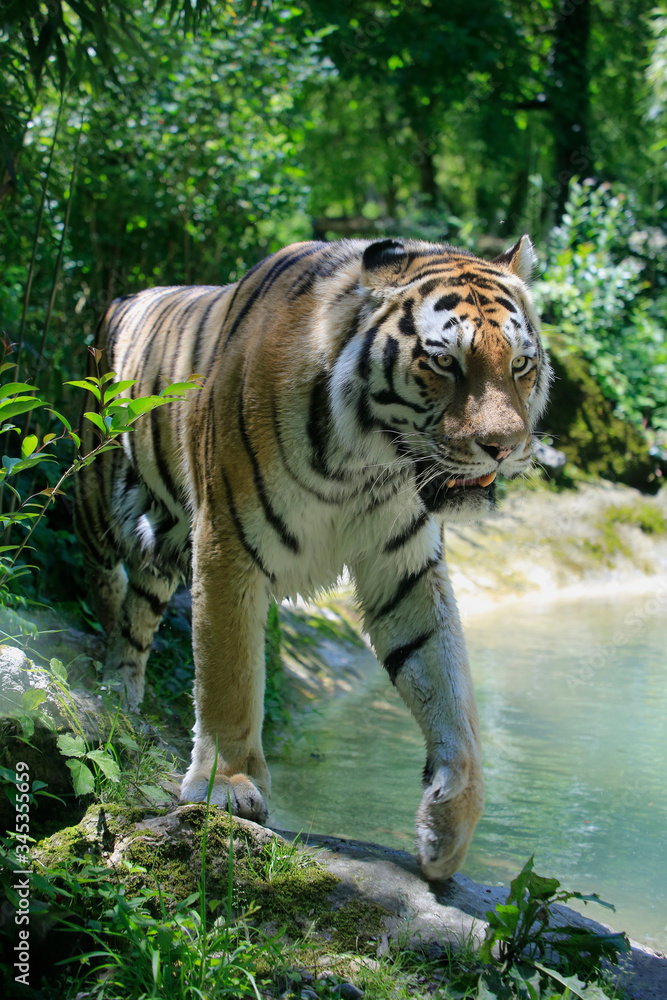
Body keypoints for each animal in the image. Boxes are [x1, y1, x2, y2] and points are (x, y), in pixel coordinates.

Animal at [73, 236, 551, 880]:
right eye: (445, 363)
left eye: (520, 364)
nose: (504, 448)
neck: (366, 460)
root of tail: (121, 299)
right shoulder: (227, 545)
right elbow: (229, 676)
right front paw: (229, 785)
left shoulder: (404, 566)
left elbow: (449, 687)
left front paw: (450, 822)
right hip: (97, 504)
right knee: (106, 585)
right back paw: (106, 690)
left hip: (163, 547)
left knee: (138, 615)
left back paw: (124, 696)